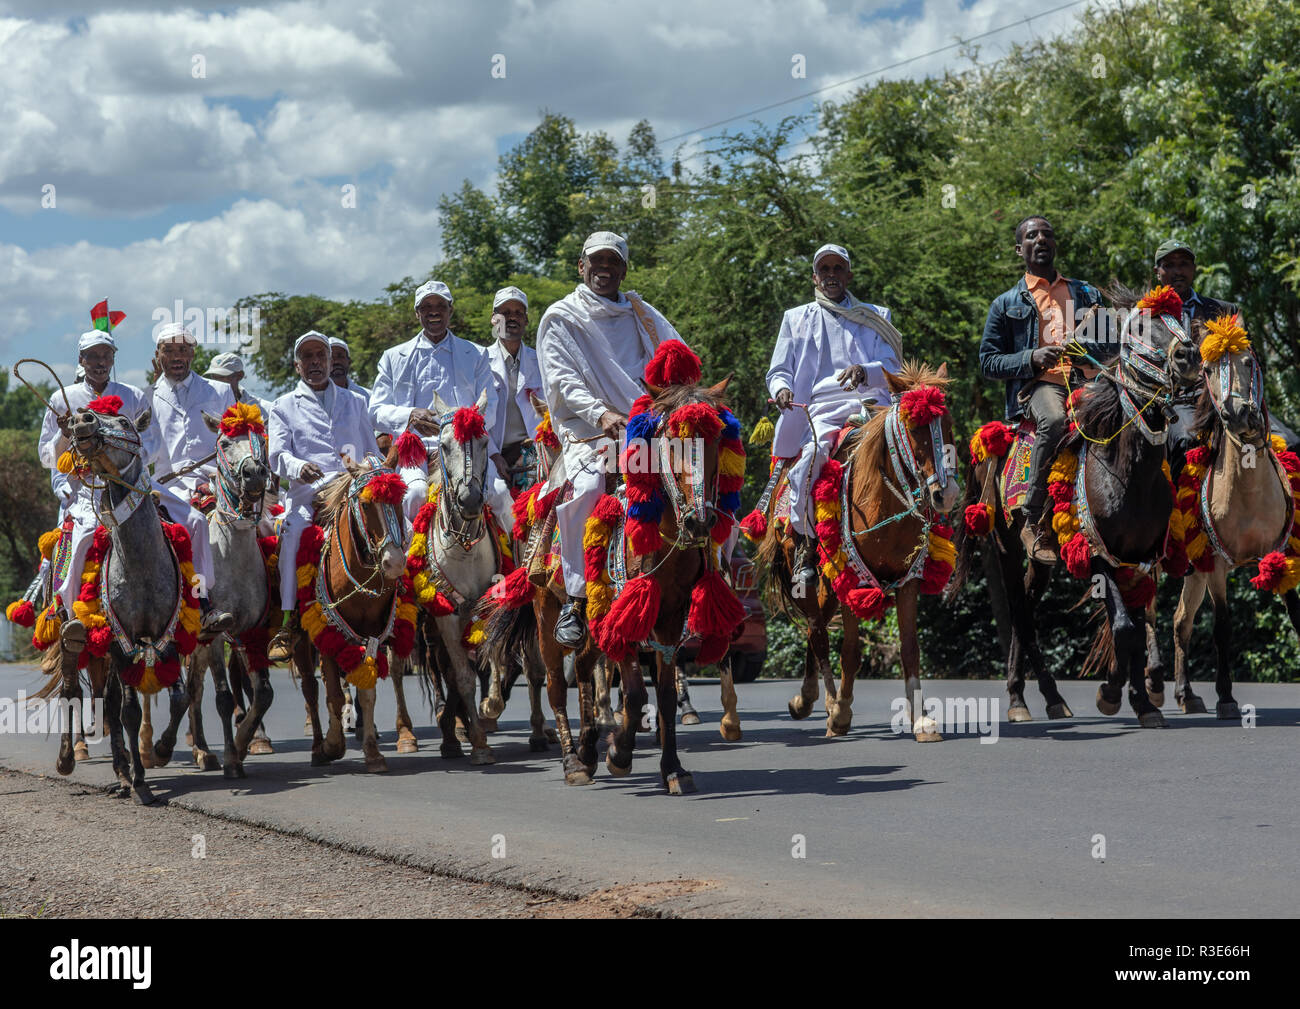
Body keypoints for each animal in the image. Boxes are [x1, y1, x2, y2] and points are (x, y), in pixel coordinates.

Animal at [483, 343, 748, 790]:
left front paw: (672, 768)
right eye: (669, 440)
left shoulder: (669, 615)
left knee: (584, 668)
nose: (699, 522)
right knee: (555, 684)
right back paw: (573, 760)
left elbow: (662, 694)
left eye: (717, 440)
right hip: (545, 609)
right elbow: (636, 692)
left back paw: (589, 747)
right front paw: (620, 753)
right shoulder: (625, 612)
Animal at [754, 361, 967, 738]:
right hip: (807, 578)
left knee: (815, 629)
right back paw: (824, 703)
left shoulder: (908, 580)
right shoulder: (853, 577)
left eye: (948, 425)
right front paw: (841, 713)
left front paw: (921, 718)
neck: (881, 503)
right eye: (913, 428)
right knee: (818, 632)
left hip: (829, 586)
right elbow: (850, 651)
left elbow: (910, 648)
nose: (947, 494)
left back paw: (808, 698)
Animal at [951, 283, 1201, 722]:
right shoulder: (1097, 552)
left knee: (1025, 610)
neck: (1127, 470)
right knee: (1020, 614)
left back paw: (1041, 697)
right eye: (1140, 326)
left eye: (1182, 320)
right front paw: (1115, 694)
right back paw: (1026, 700)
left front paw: (1140, 701)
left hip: (1040, 560)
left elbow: (1135, 631)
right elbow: (1124, 628)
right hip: (1005, 546)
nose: (1188, 356)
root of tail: (992, 436)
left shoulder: (1140, 557)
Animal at [1159, 314, 1300, 717]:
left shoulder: (1279, 554)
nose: (1237, 414)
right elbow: (1222, 626)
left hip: (1193, 569)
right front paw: (1226, 696)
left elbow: (1296, 616)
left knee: (1180, 621)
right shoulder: (1218, 565)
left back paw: (1186, 694)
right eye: (1208, 369)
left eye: (1249, 362)